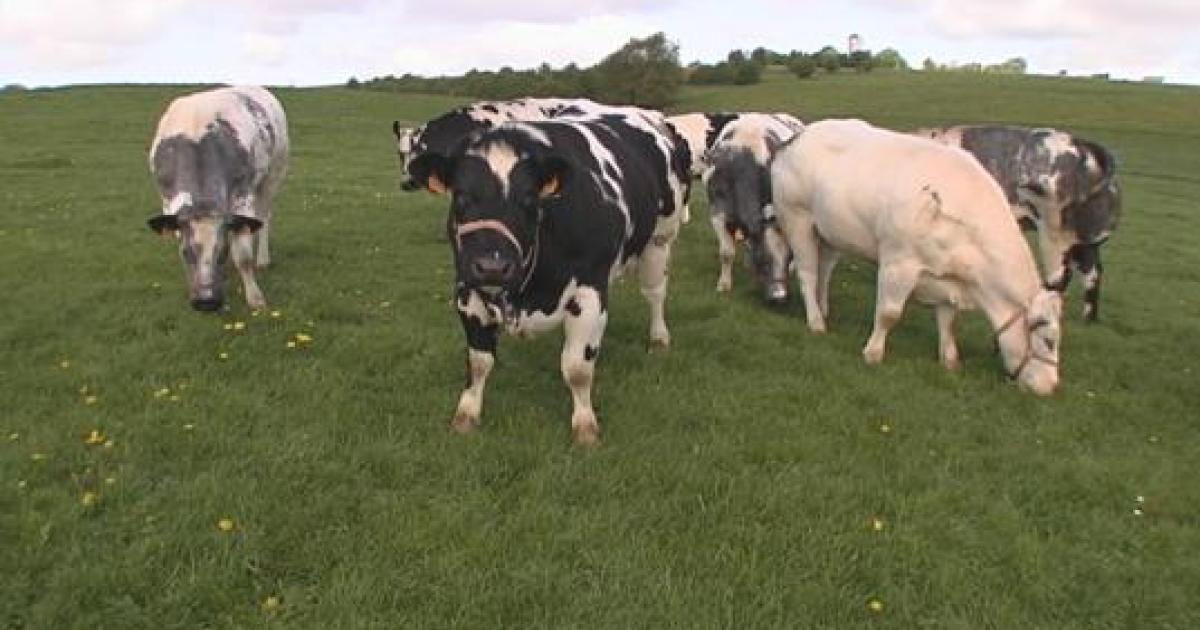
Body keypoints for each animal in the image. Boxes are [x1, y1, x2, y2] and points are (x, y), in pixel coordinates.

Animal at [146, 85, 288, 312]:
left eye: (223, 251)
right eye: (185, 253)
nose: (207, 301)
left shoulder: (242, 197)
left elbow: (244, 256)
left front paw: (254, 297)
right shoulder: (168, 202)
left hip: (274, 174)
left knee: (265, 218)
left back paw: (263, 259)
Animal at [407, 110, 688, 444]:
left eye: (529, 198)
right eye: (461, 197)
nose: (492, 266)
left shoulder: (589, 290)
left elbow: (577, 367)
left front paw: (585, 426)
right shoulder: (467, 291)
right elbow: (478, 362)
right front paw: (466, 416)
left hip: (660, 238)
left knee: (655, 292)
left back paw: (659, 339)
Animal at [703, 113, 805, 303]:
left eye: (788, 258)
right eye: (763, 260)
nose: (779, 297)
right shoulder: (718, 212)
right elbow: (727, 252)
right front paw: (724, 284)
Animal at [771, 120, 1063, 395]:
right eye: (1048, 340)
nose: (1051, 386)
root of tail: (799, 136)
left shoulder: (946, 276)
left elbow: (948, 320)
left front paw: (949, 360)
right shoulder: (898, 263)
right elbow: (889, 313)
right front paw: (873, 354)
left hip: (830, 231)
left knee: (825, 269)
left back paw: (824, 309)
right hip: (797, 219)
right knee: (808, 273)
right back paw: (816, 322)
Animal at [914, 125, 1121, 321]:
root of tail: (1085, 147)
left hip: (1055, 237)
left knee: (1060, 278)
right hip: (1085, 240)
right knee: (1092, 273)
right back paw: (1088, 320)